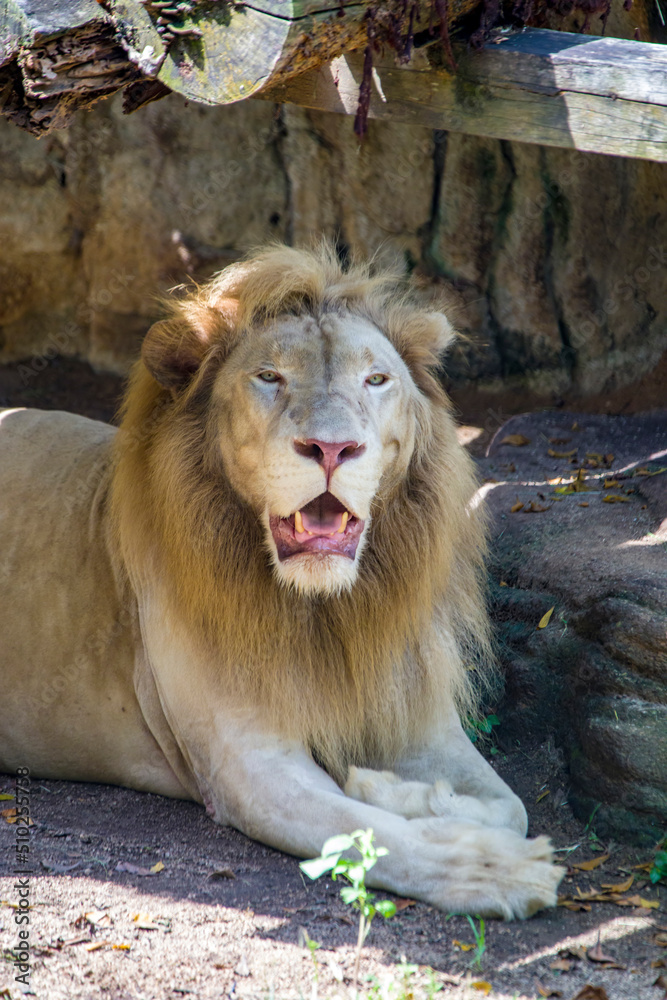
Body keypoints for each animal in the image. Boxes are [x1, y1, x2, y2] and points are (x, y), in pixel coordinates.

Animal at [0, 243, 563, 919]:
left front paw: (391, 788)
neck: (324, 609)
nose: (332, 448)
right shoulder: (247, 765)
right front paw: (491, 869)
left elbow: (511, 806)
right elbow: (363, 832)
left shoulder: (419, 719)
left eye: (376, 380)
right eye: (269, 377)